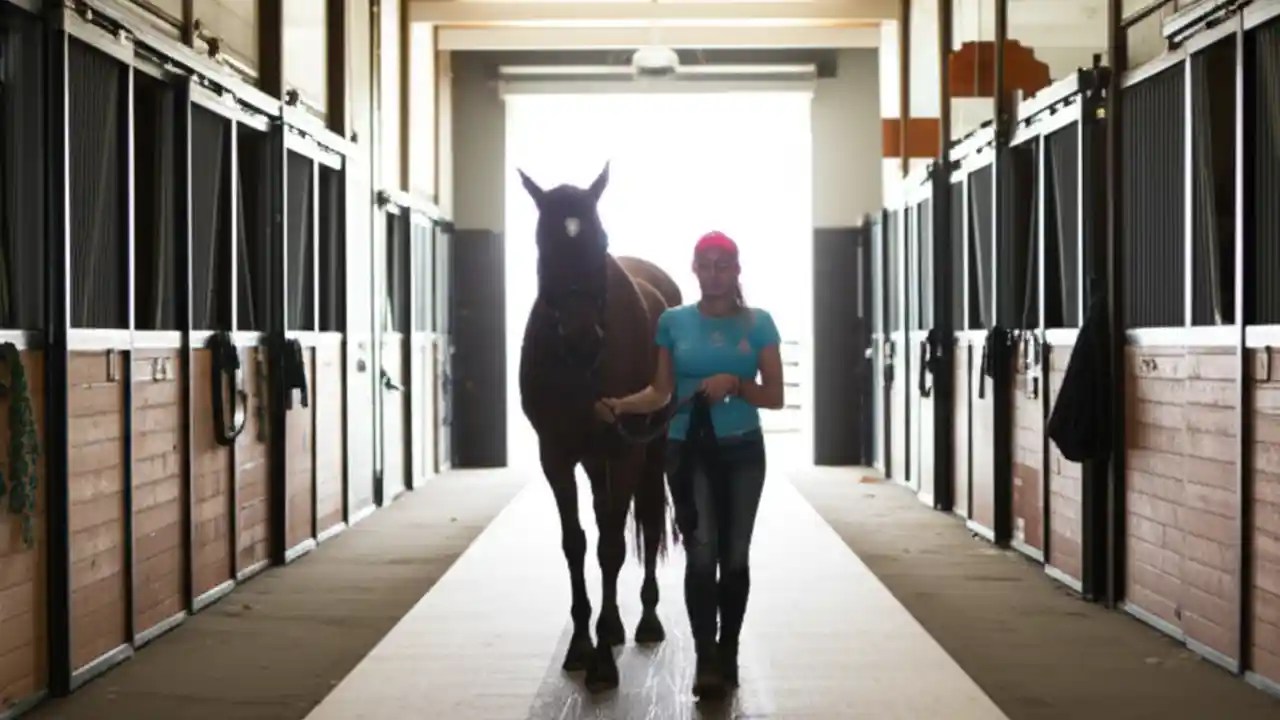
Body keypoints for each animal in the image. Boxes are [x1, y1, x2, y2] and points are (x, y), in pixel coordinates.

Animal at [517, 163, 682, 691]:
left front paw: (603, 663)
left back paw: (644, 621)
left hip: (649, 450)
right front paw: (581, 644)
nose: (582, 337)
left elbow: (611, 545)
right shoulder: (556, 455)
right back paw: (610, 628)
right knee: (607, 510)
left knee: (643, 519)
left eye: (601, 238)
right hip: (594, 457)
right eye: (544, 241)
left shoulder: (625, 450)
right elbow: (576, 544)